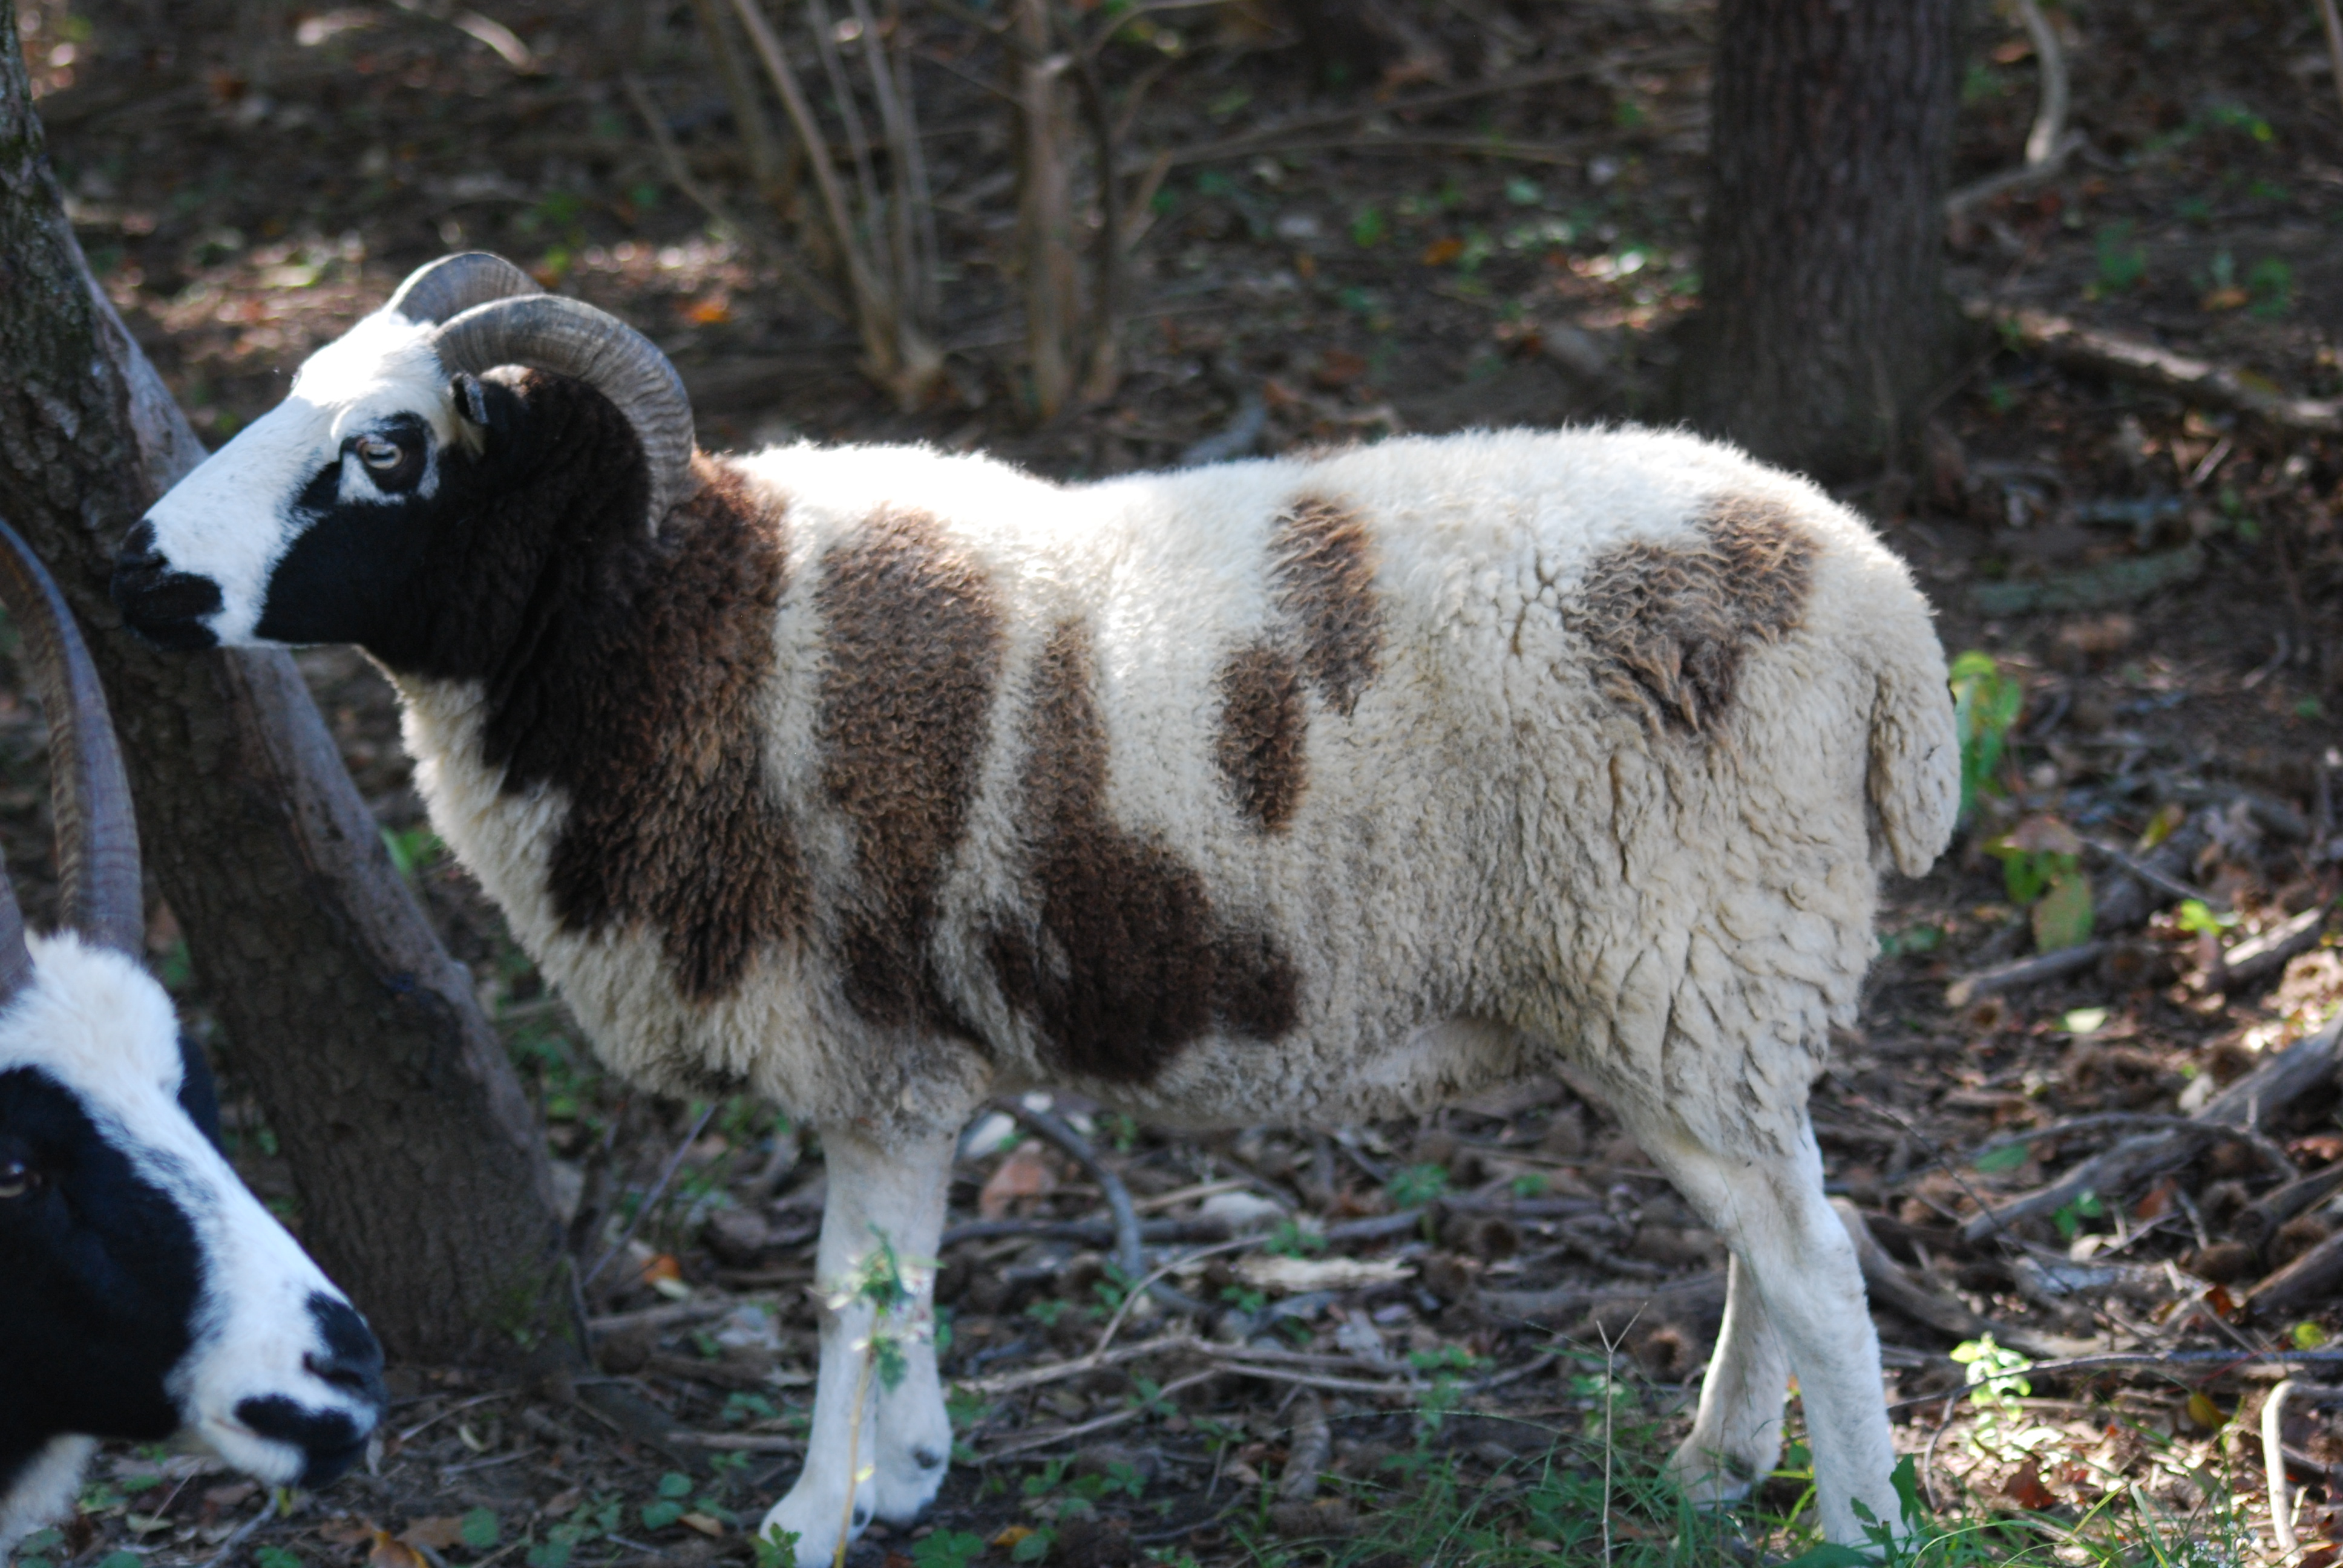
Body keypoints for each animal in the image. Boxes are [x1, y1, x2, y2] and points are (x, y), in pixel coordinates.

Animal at [114, 251, 1959, 1557]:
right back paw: (1722, 1464)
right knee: (1776, 1229)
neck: (684, 621)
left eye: (386, 448)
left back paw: (1859, 1521)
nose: (137, 572)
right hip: (1700, 980)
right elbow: (905, 1278)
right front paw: (907, 1473)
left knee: (1816, 1258)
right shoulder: (914, 1064)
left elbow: (847, 1291)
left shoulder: (860, 1038)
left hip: (1679, 950)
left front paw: (810, 1515)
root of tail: (1882, 610)